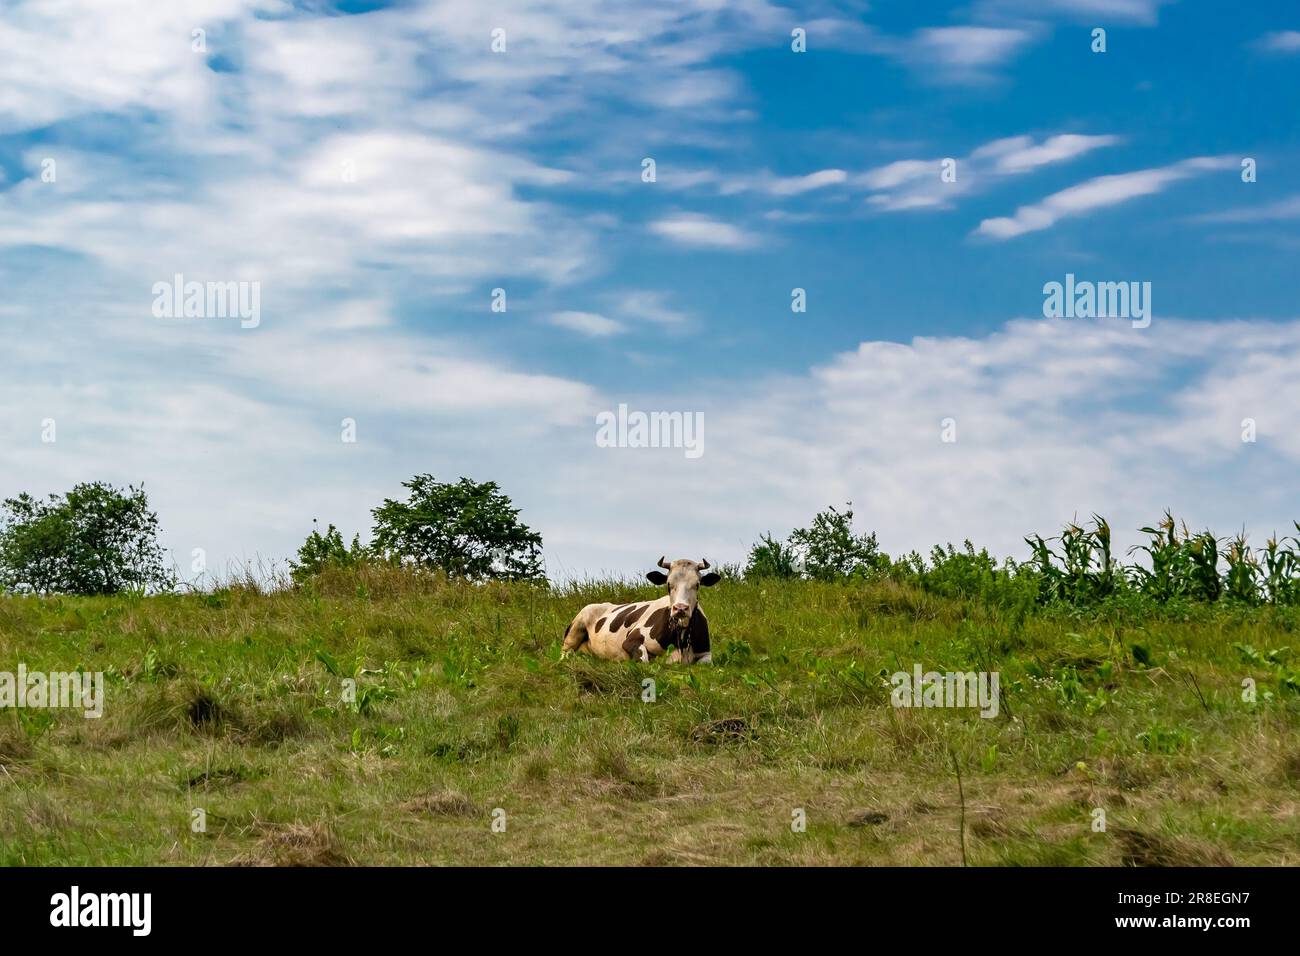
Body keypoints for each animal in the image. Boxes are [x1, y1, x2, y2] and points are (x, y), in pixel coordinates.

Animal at [561, 557, 720, 664]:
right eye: (669, 584)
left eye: (697, 584)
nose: (680, 608)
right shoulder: (631, 640)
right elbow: (644, 659)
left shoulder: (706, 653)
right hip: (578, 624)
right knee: (565, 652)